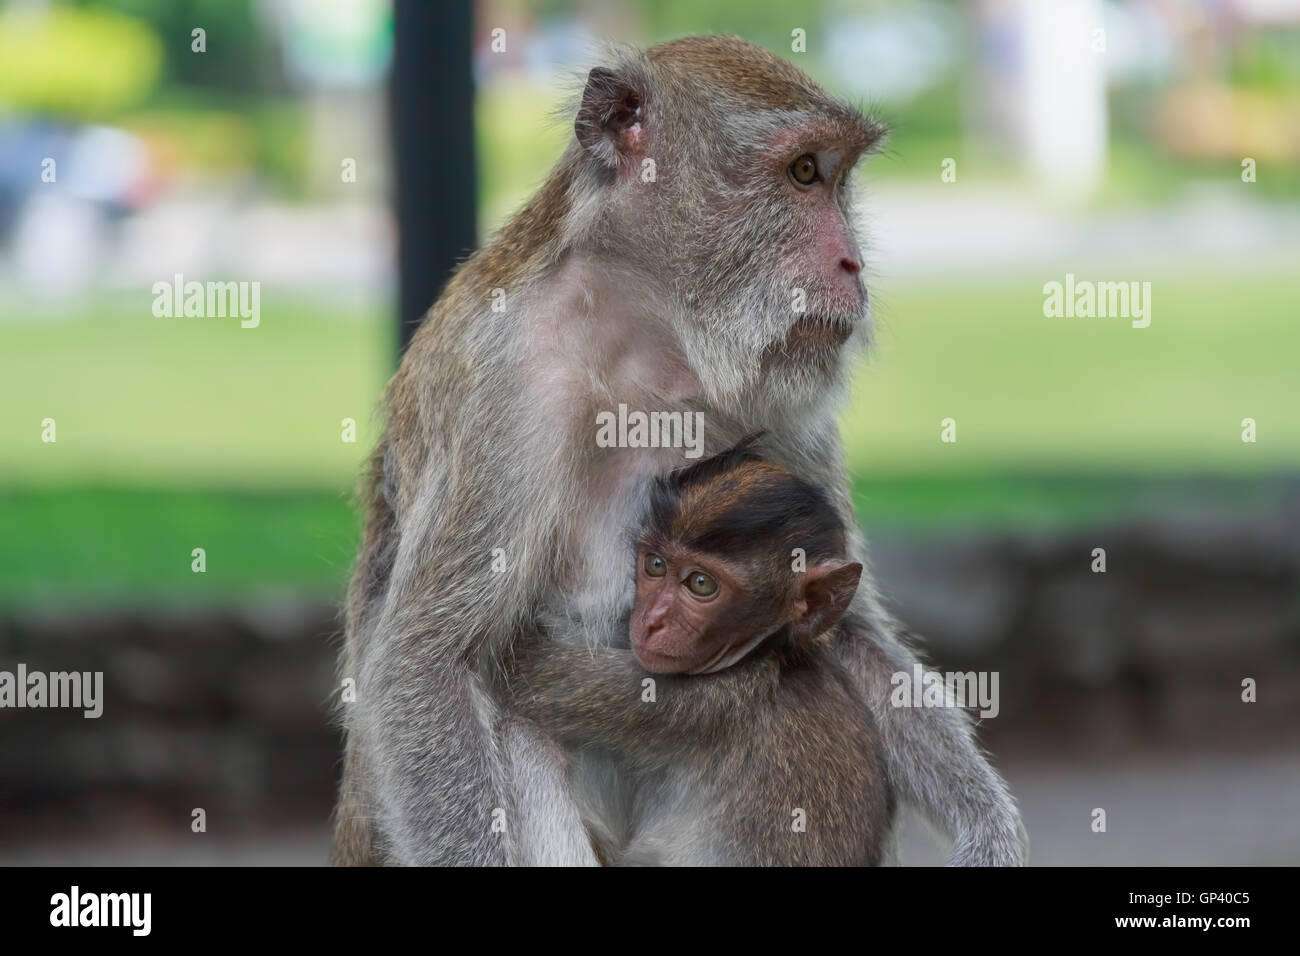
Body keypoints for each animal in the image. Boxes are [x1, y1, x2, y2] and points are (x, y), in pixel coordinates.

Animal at [501, 445, 892, 865]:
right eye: (655, 564)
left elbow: (522, 673)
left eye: (701, 584)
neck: (764, 655)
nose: (651, 621)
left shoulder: (696, 702)